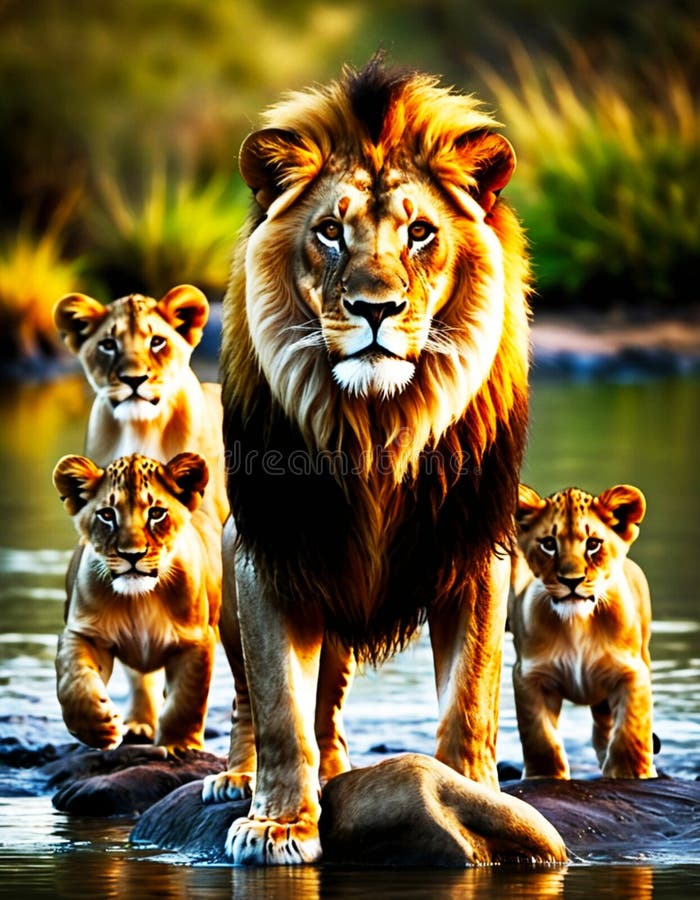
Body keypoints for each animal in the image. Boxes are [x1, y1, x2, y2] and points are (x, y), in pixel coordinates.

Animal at [52, 452, 221, 752]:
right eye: (107, 515)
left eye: (156, 513)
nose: (132, 554)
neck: (142, 598)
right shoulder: (84, 633)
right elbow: (74, 680)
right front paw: (99, 727)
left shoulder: (196, 640)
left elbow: (187, 699)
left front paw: (180, 745)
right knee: (142, 681)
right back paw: (138, 726)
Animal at [205, 58, 535, 864]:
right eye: (330, 230)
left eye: (420, 232)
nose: (376, 308)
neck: (378, 426)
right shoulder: (272, 550)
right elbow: (279, 707)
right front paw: (278, 824)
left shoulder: (479, 550)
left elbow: (469, 703)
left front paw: (478, 798)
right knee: (255, 700)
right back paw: (238, 777)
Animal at [508, 483, 657, 779]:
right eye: (549, 544)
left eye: (593, 544)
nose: (571, 581)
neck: (577, 623)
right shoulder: (530, 675)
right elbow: (540, 737)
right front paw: (544, 776)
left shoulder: (632, 671)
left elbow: (632, 729)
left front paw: (631, 774)